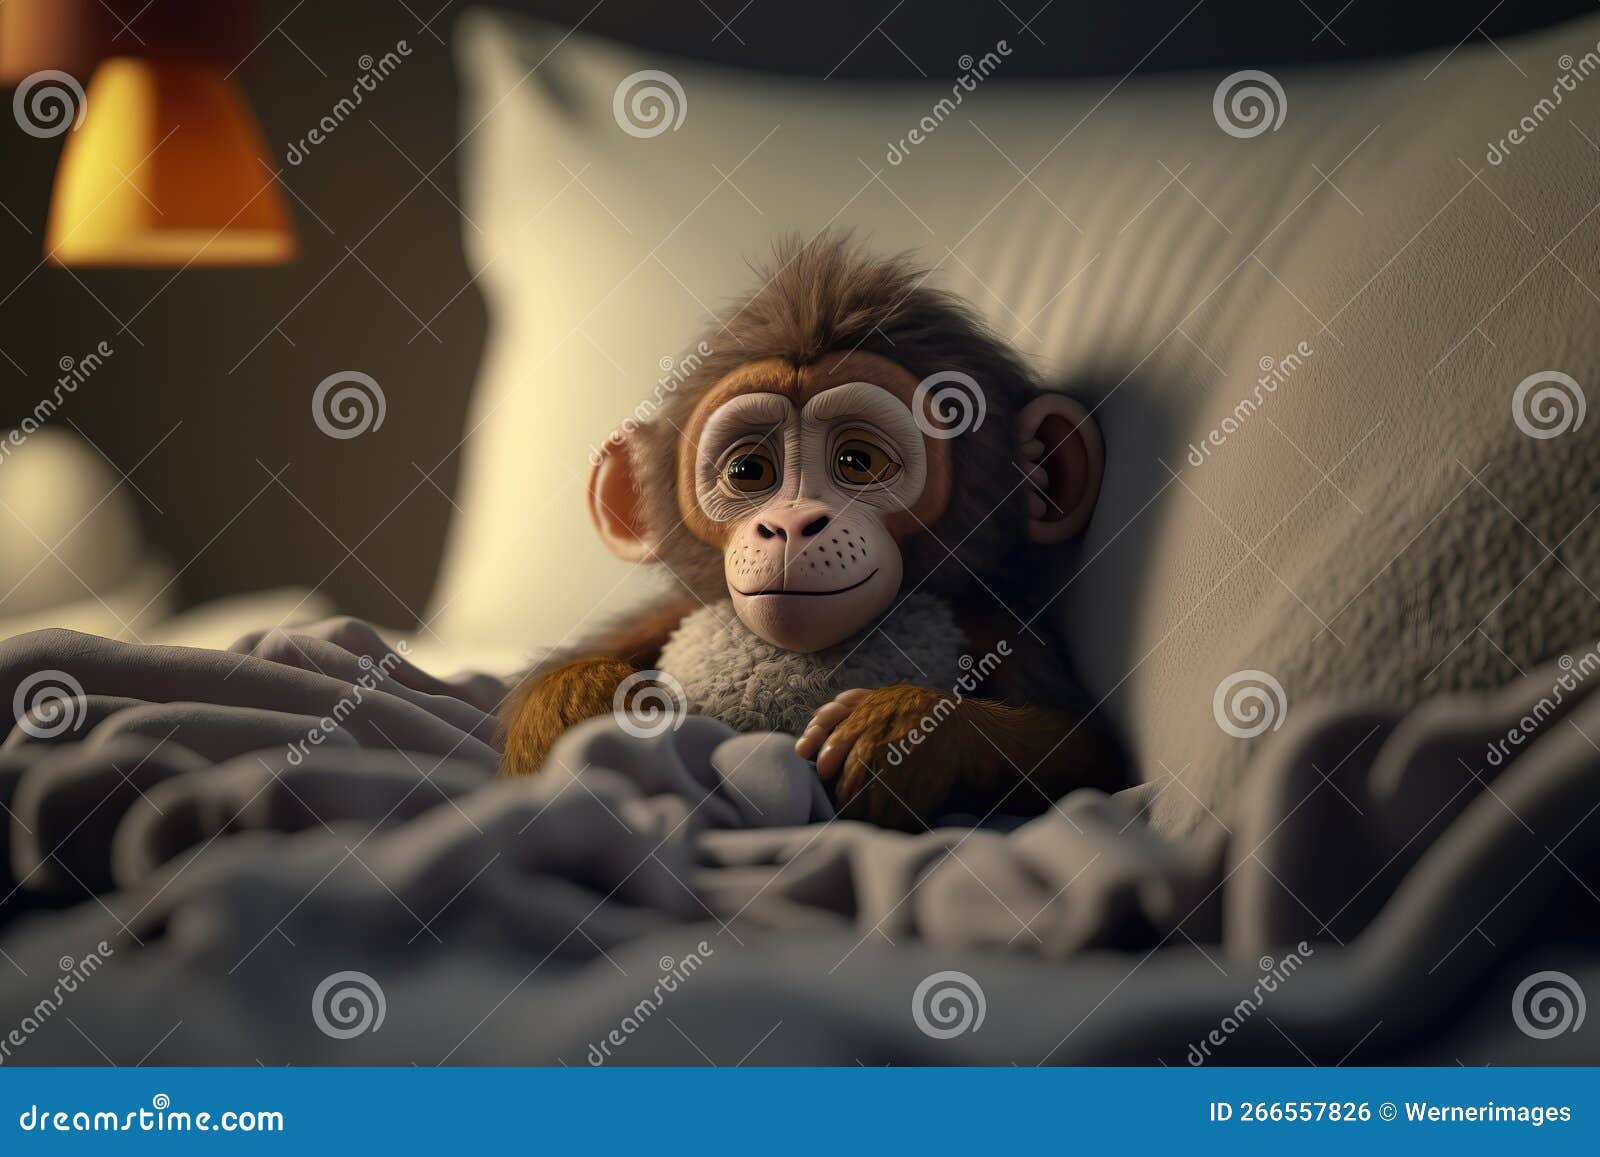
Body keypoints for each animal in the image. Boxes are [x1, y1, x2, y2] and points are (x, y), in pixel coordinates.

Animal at [500, 233, 1126, 831]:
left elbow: (1092, 756)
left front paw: (909, 728)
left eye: (859, 462)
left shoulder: (996, 622)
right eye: (747, 471)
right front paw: (581, 704)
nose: (791, 523)